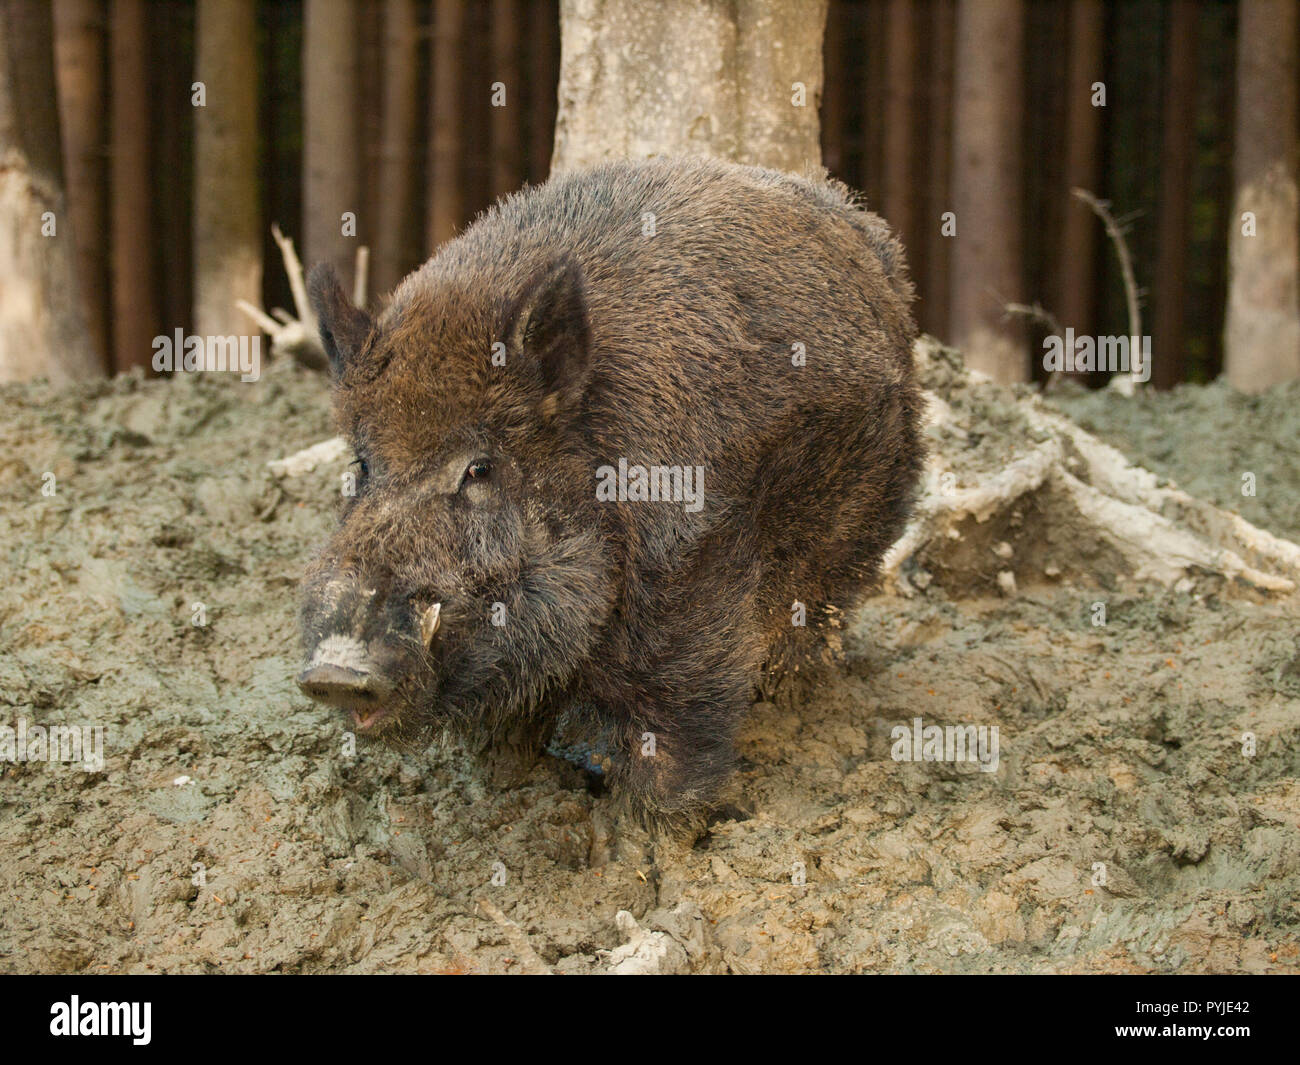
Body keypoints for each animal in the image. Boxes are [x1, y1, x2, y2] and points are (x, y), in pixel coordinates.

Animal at [297, 156, 924, 833]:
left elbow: (673, 729)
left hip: (862, 514)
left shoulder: (690, 577)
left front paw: (651, 836)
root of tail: (861, 228)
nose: (334, 671)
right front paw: (503, 781)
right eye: (363, 465)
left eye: (479, 468)